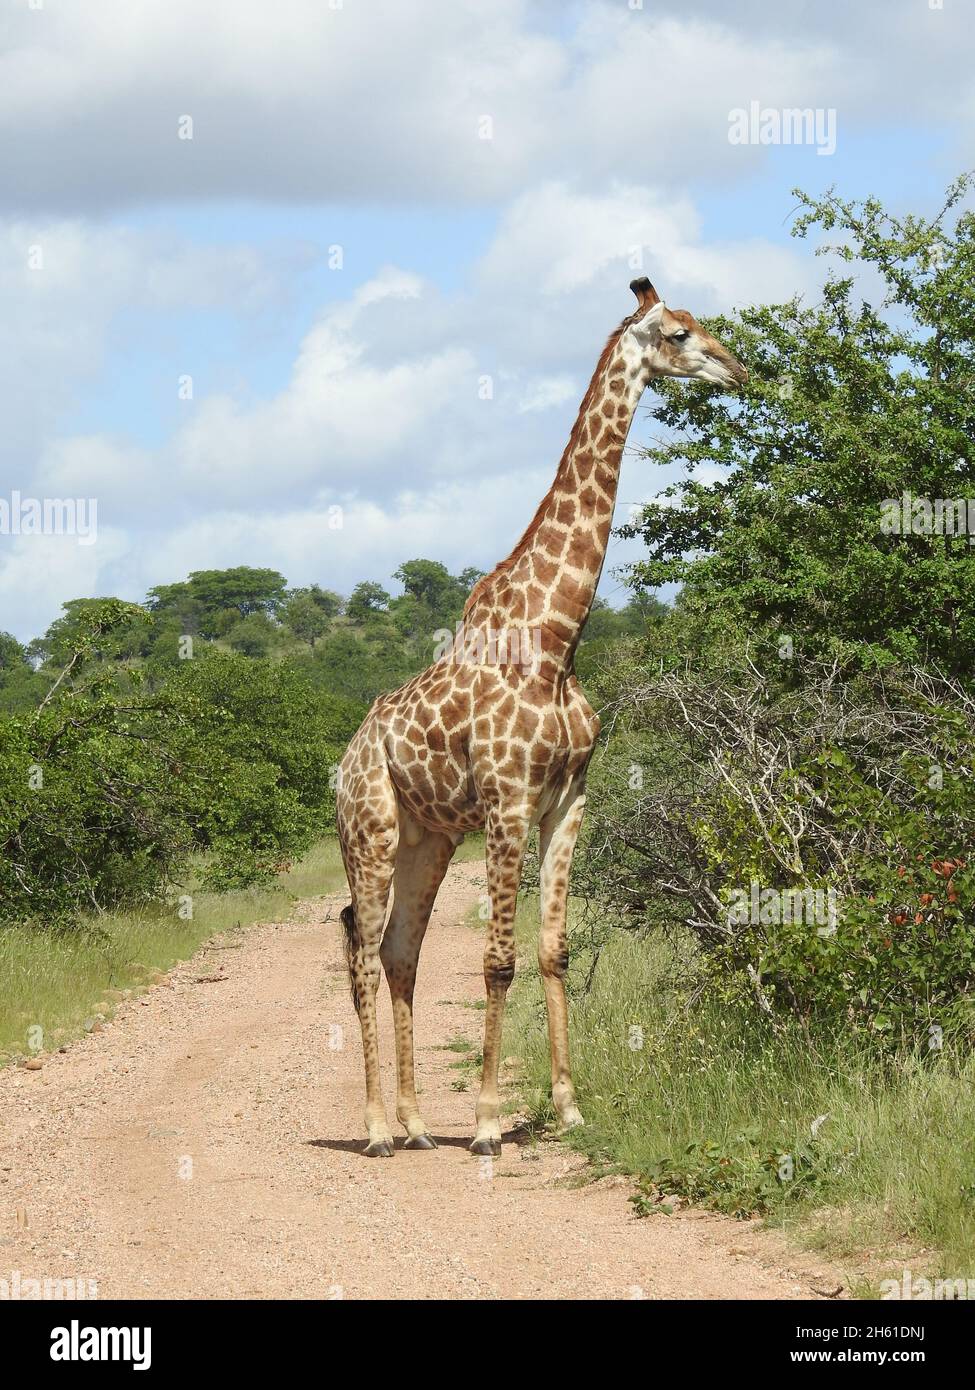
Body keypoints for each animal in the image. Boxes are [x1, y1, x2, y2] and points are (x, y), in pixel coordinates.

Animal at [336, 277, 747, 1157]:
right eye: (677, 333)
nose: (738, 368)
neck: (557, 636)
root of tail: (343, 761)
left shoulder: (567, 799)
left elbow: (553, 949)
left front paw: (567, 1106)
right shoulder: (506, 801)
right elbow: (498, 959)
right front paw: (489, 1122)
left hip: (427, 839)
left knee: (398, 950)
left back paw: (417, 1124)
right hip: (370, 831)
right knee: (356, 945)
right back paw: (378, 1128)